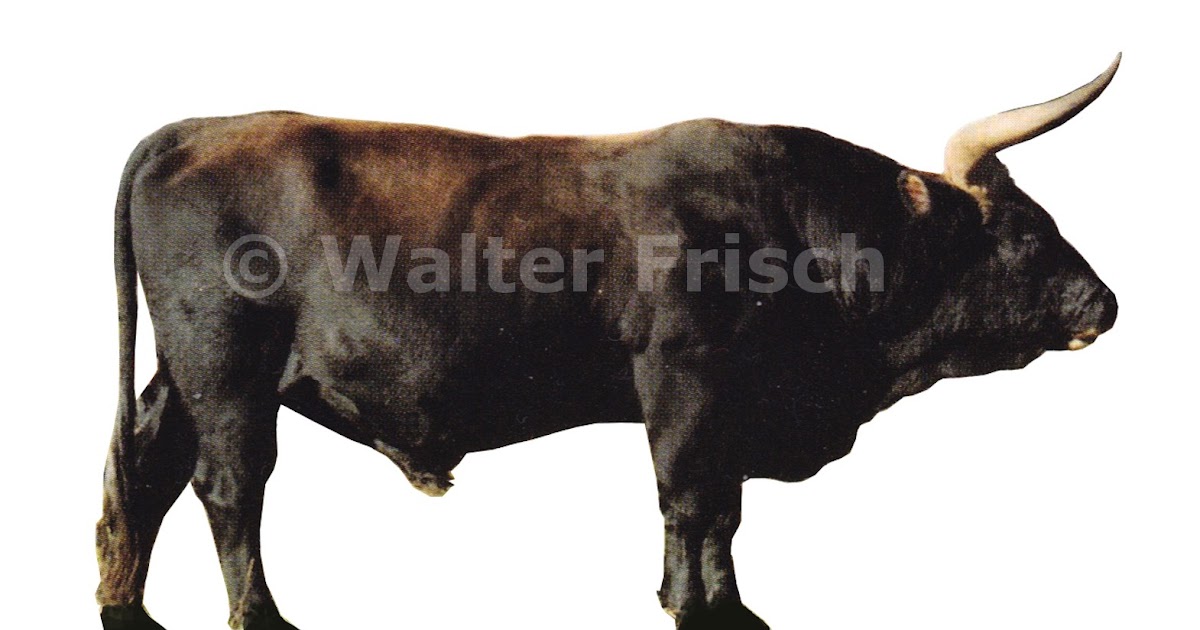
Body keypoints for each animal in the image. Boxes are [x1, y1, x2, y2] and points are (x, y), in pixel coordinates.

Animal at [96, 56, 1121, 630]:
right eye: (1024, 232)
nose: (1106, 304)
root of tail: (194, 129)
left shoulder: (727, 408)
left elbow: (720, 509)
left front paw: (721, 605)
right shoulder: (686, 383)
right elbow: (695, 501)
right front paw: (697, 607)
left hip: (182, 376)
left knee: (140, 470)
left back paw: (123, 602)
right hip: (229, 370)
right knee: (230, 487)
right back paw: (260, 617)